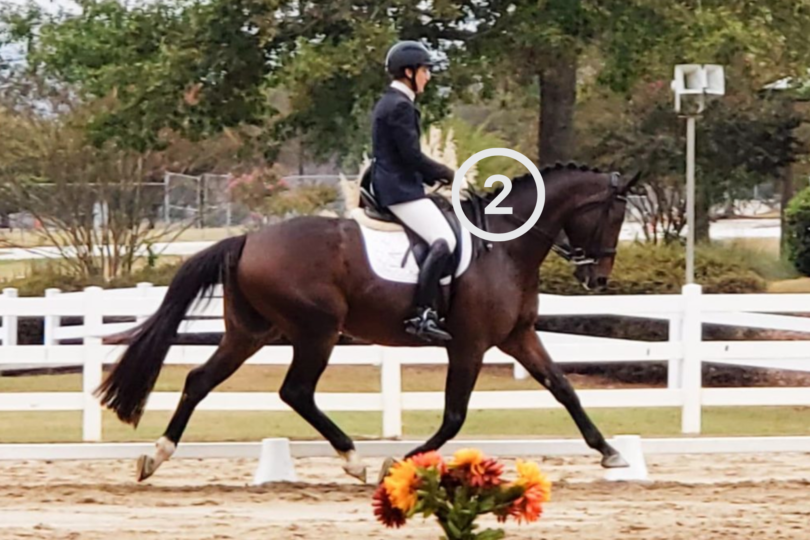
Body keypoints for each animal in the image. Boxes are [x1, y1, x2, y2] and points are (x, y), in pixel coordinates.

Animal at [96, 162, 640, 483]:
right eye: (613, 215)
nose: (598, 278)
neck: (504, 244)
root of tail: (248, 240)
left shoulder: (518, 337)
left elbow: (563, 388)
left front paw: (611, 452)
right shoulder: (469, 344)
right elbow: (454, 416)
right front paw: (398, 461)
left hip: (252, 333)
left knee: (199, 380)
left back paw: (157, 455)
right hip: (317, 330)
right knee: (295, 392)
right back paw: (354, 459)